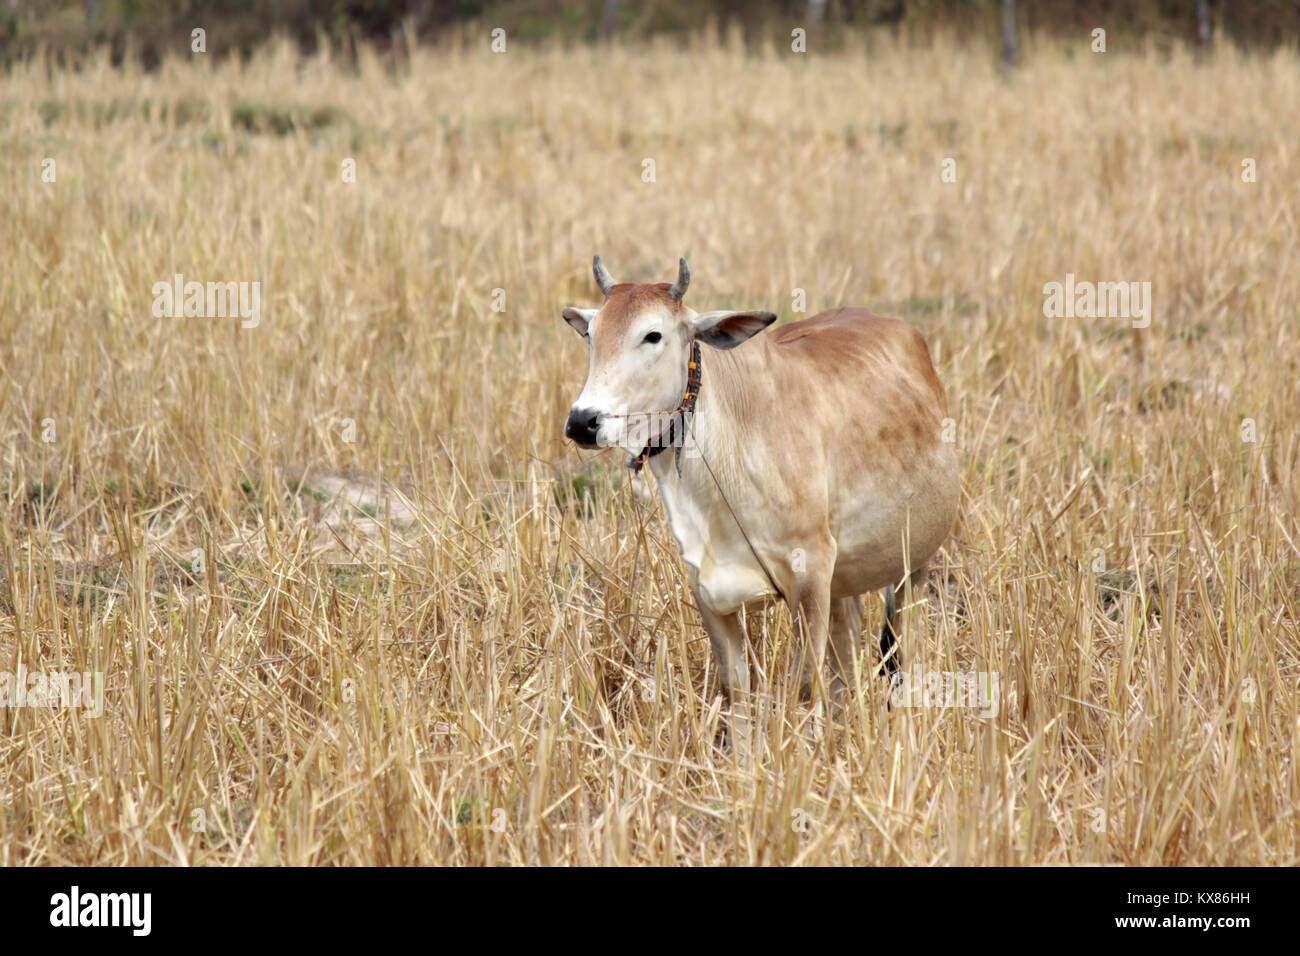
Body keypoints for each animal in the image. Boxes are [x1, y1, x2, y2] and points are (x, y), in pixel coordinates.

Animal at [562, 255, 960, 750]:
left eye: (652, 335)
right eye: (592, 334)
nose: (582, 421)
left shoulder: (810, 574)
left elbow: (804, 685)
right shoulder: (709, 590)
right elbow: (738, 689)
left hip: (914, 564)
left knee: (902, 652)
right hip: (846, 581)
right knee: (847, 657)